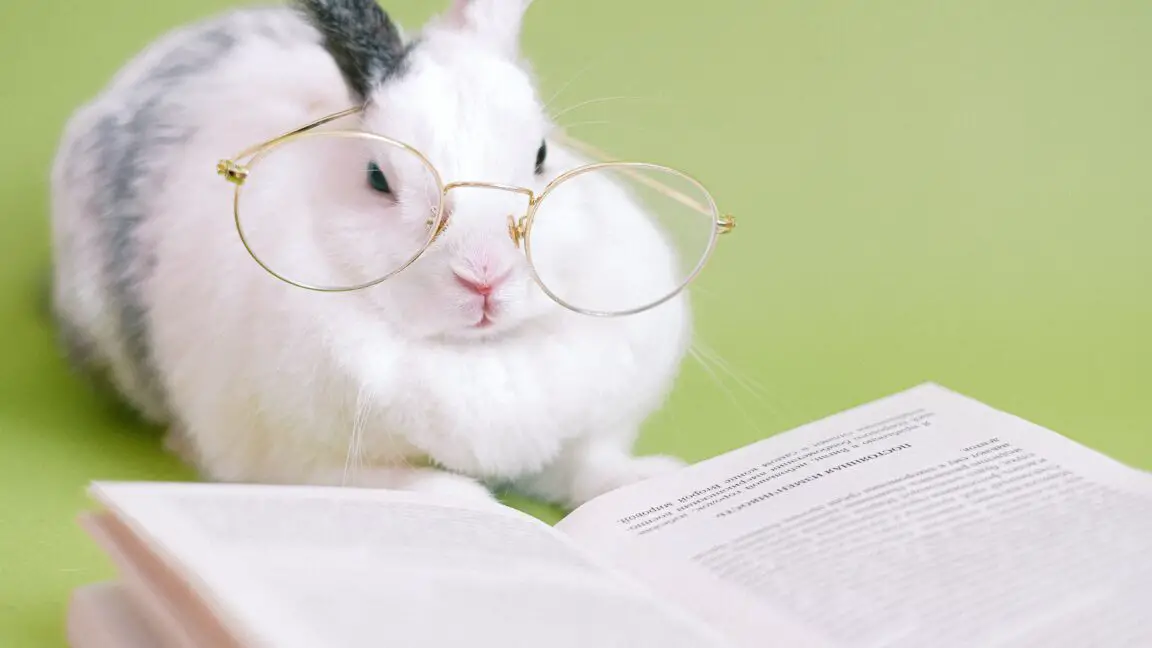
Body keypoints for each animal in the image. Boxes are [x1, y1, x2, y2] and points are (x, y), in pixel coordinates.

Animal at [49, 0, 693, 508]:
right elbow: (408, 487)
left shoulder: (581, 434)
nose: (485, 276)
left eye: (540, 155)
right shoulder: (298, 461)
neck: (476, 355)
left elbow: (589, 467)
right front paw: (473, 505)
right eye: (378, 178)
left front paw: (653, 480)